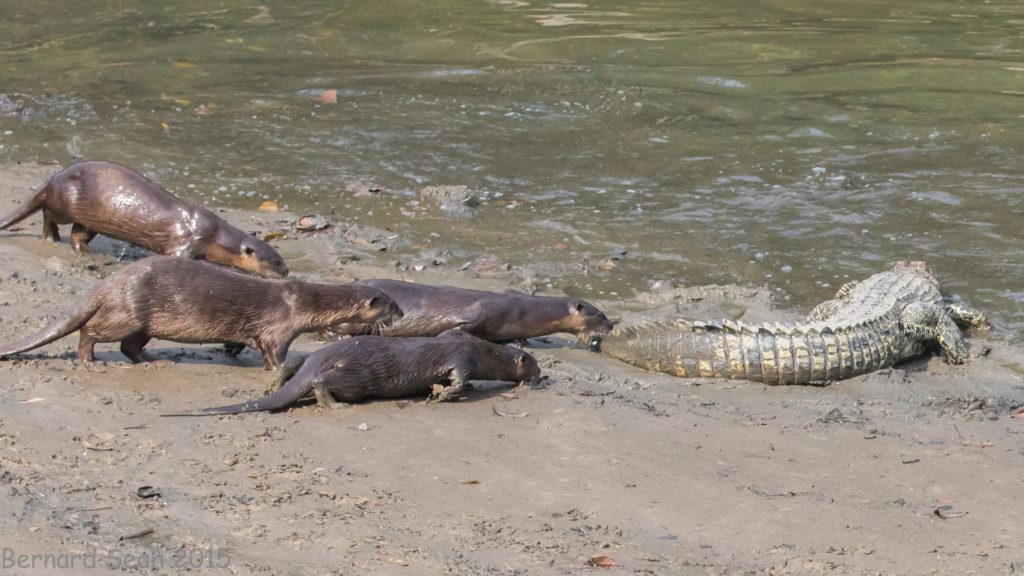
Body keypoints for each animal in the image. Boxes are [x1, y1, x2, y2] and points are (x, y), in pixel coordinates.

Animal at [0, 160, 289, 278]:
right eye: (274, 261)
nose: (286, 272)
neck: (215, 233)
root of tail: (55, 177)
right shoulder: (185, 243)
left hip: (89, 219)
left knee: (78, 236)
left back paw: (91, 255)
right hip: (62, 201)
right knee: (48, 214)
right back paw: (51, 237)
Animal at [0, 256, 401, 368]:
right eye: (391, 304)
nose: (398, 314)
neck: (306, 302)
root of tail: (110, 282)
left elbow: (240, 342)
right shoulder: (280, 327)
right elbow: (274, 352)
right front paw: (281, 368)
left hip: (144, 323)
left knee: (131, 346)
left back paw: (153, 361)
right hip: (127, 312)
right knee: (92, 331)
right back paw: (89, 362)